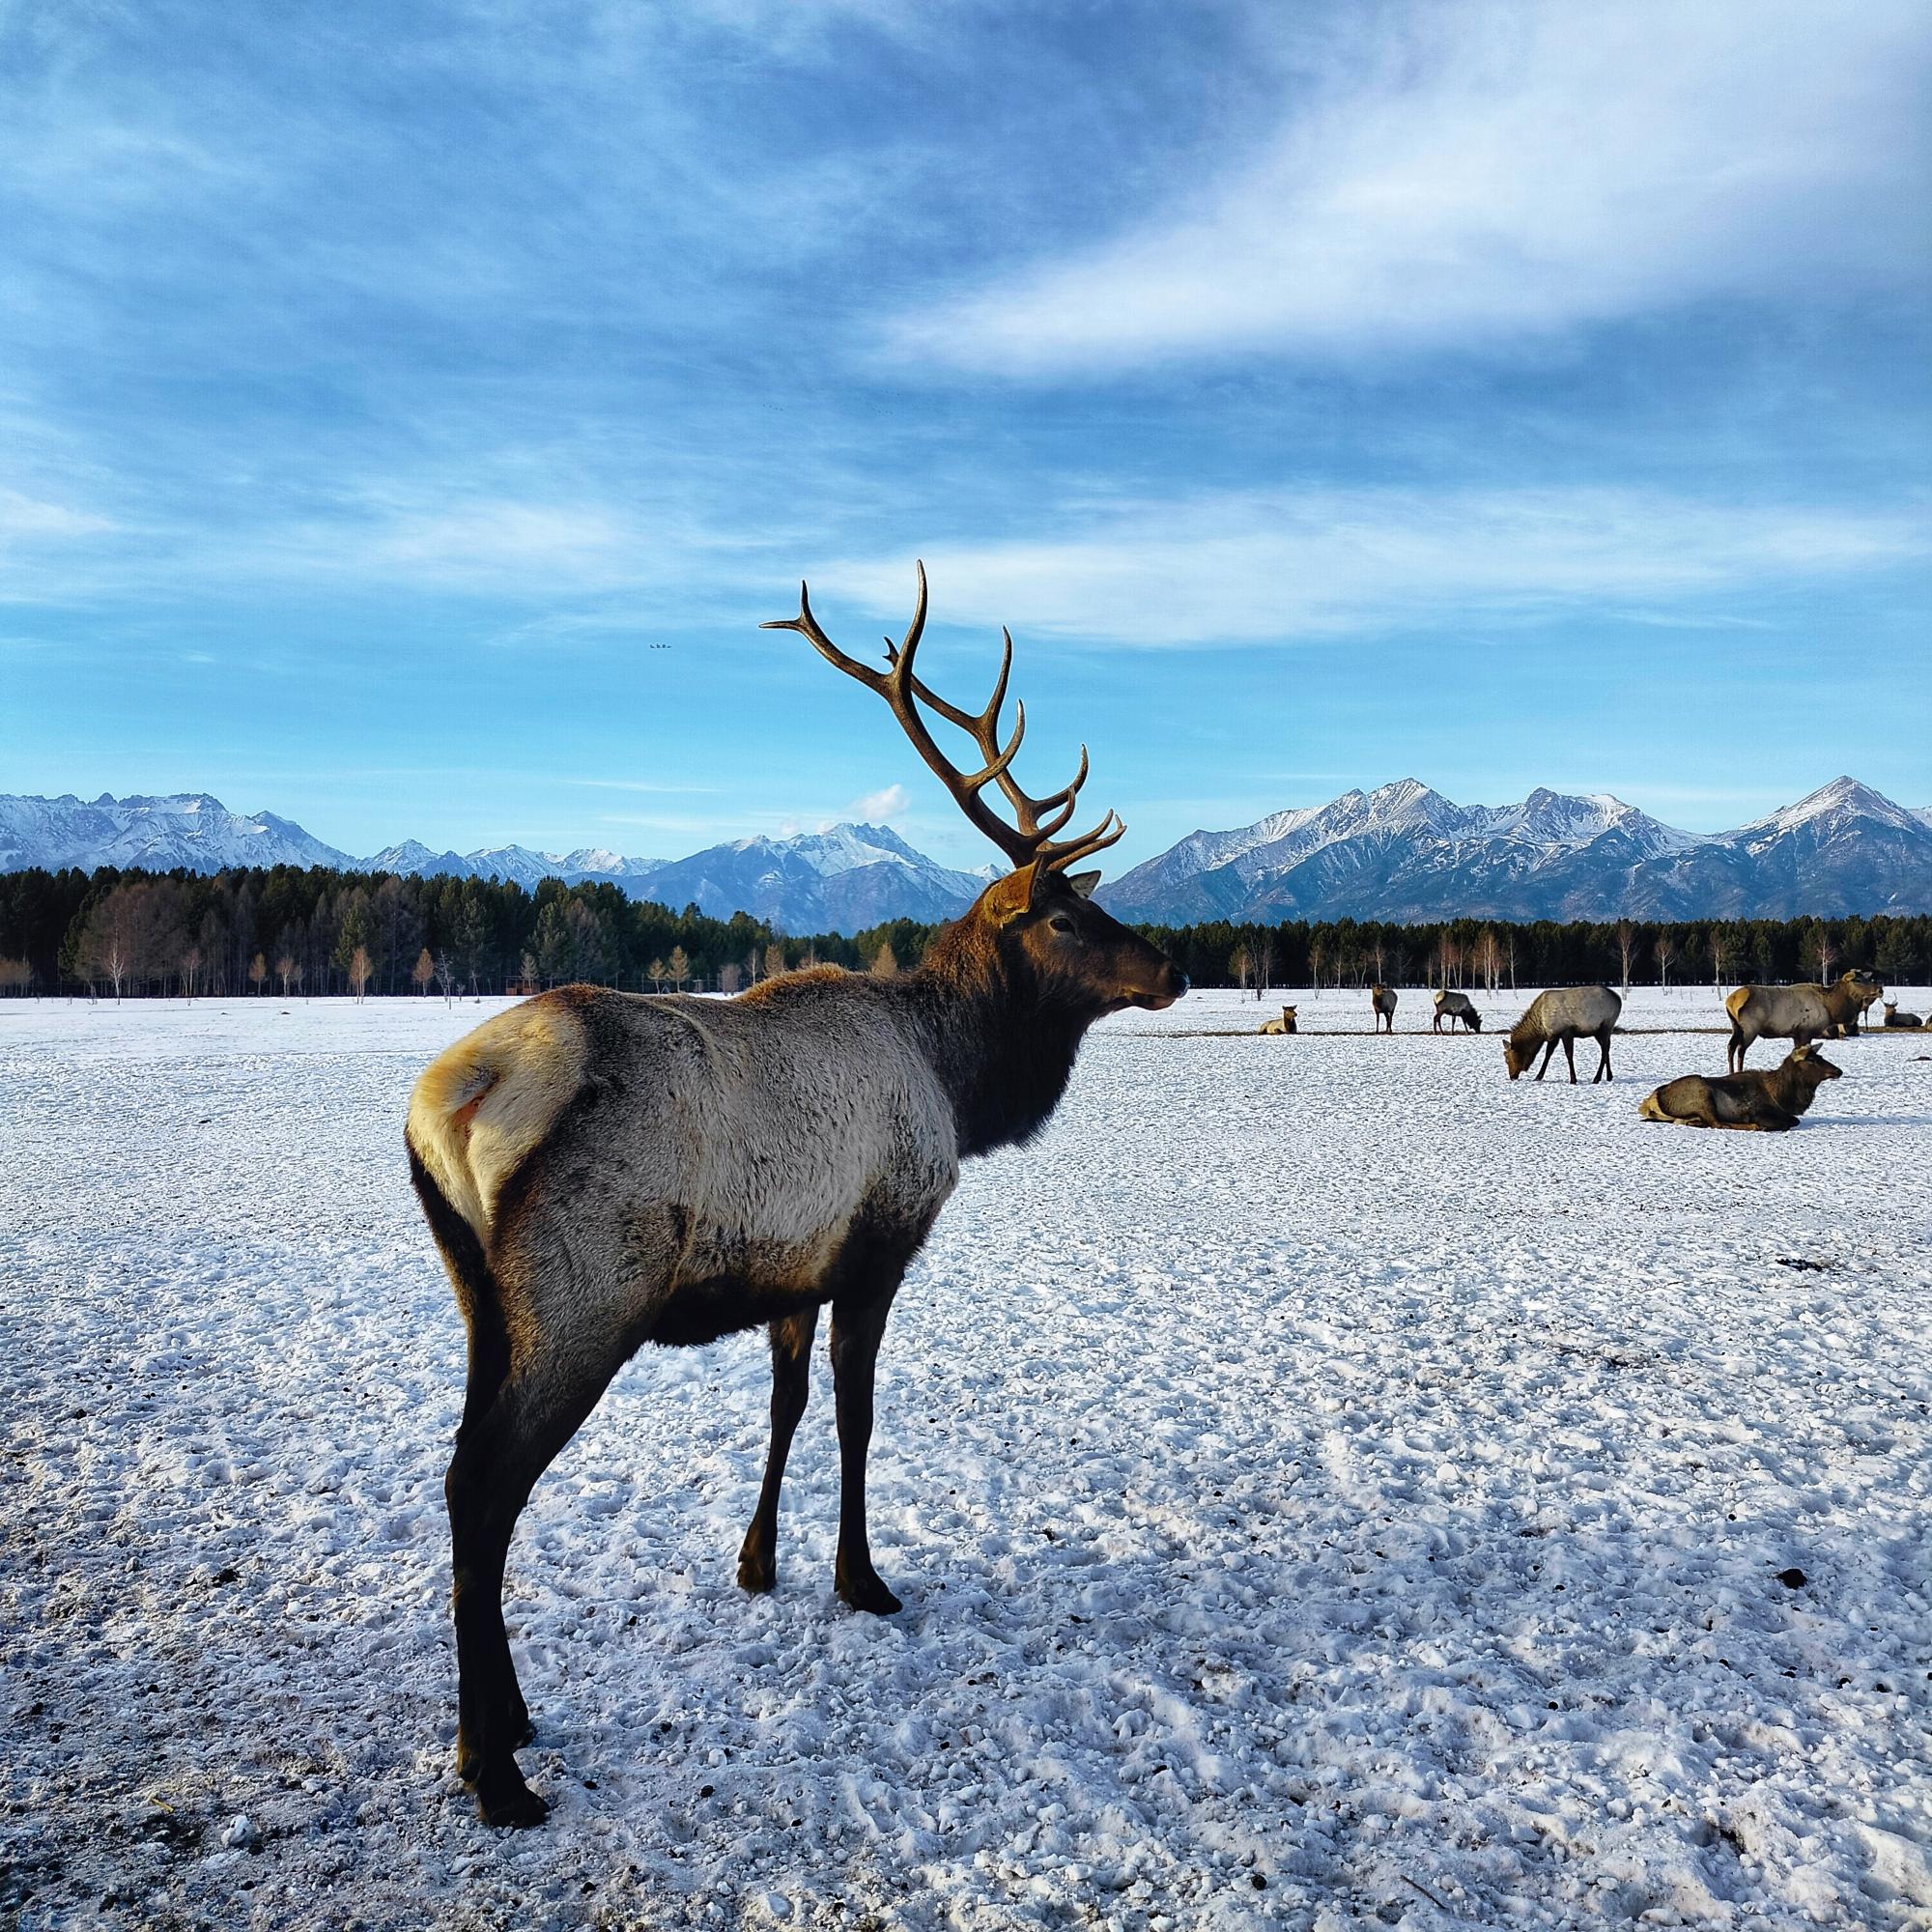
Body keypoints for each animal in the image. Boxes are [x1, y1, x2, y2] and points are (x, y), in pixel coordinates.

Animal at [406, 564, 1182, 1824]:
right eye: (1067, 916)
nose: (1176, 966)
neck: (959, 1081)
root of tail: (448, 1099)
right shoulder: (880, 1241)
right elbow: (856, 1413)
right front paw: (861, 1577)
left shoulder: (791, 1271)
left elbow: (783, 1406)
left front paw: (758, 1561)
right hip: (585, 1291)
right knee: (482, 1481)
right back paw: (494, 1767)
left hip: (481, 1295)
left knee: (466, 1467)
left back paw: (511, 1718)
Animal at [1499, 989, 1623, 1082]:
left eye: (1507, 1059)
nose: (1512, 1076)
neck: (1540, 1028)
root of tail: (1618, 999)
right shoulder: (1554, 1036)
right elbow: (1547, 1055)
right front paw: (1538, 1076)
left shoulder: (1566, 1031)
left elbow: (1569, 1055)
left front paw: (1573, 1079)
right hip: (1599, 1031)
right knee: (1607, 1049)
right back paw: (1609, 1076)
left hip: (1606, 1025)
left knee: (1604, 1051)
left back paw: (1597, 1078)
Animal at [1638, 1043, 1847, 1128]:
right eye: (1811, 1060)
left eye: (1820, 1056)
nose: (1838, 1071)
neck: (1781, 1097)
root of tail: (1649, 1102)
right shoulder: (1758, 1110)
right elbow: (1789, 1122)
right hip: (1700, 1093)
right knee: (1718, 1124)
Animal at [1731, 966, 1878, 1074]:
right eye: (1857, 980)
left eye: (1866, 978)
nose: (1879, 989)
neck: (1830, 1007)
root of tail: (1730, 1000)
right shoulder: (1805, 1032)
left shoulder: (1796, 1034)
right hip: (1750, 1028)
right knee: (1740, 1049)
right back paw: (1739, 1071)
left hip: (1736, 1027)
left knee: (1731, 1047)